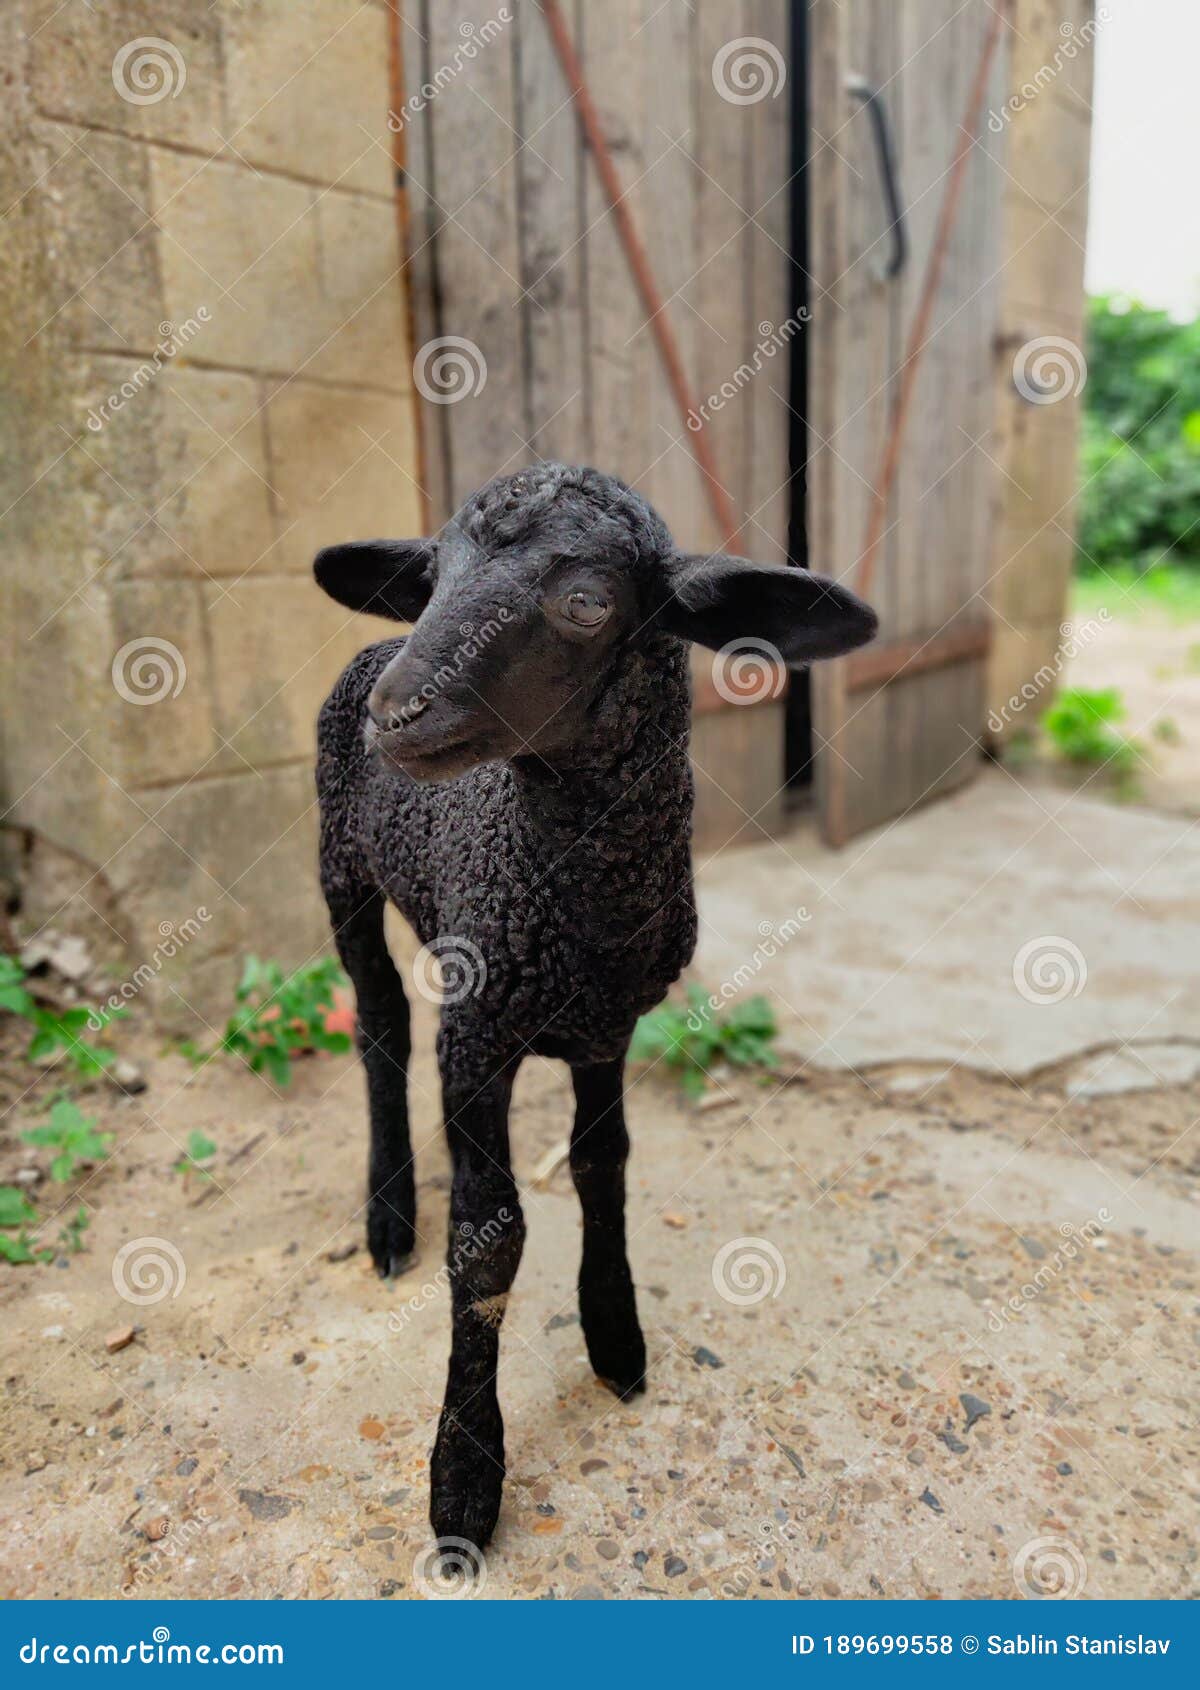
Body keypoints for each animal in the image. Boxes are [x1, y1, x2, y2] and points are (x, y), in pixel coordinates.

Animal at [313, 462, 876, 1553]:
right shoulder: (476, 1035)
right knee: (381, 1023)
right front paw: (463, 1477)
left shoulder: (609, 1024)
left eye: (586, 603)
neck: (572, 896)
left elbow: (601, 1166)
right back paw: (390, 1216)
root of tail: (369, 644)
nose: (397, 714)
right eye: (435, 575)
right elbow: (489, 1240)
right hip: (339, 868)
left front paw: (615, 1336)